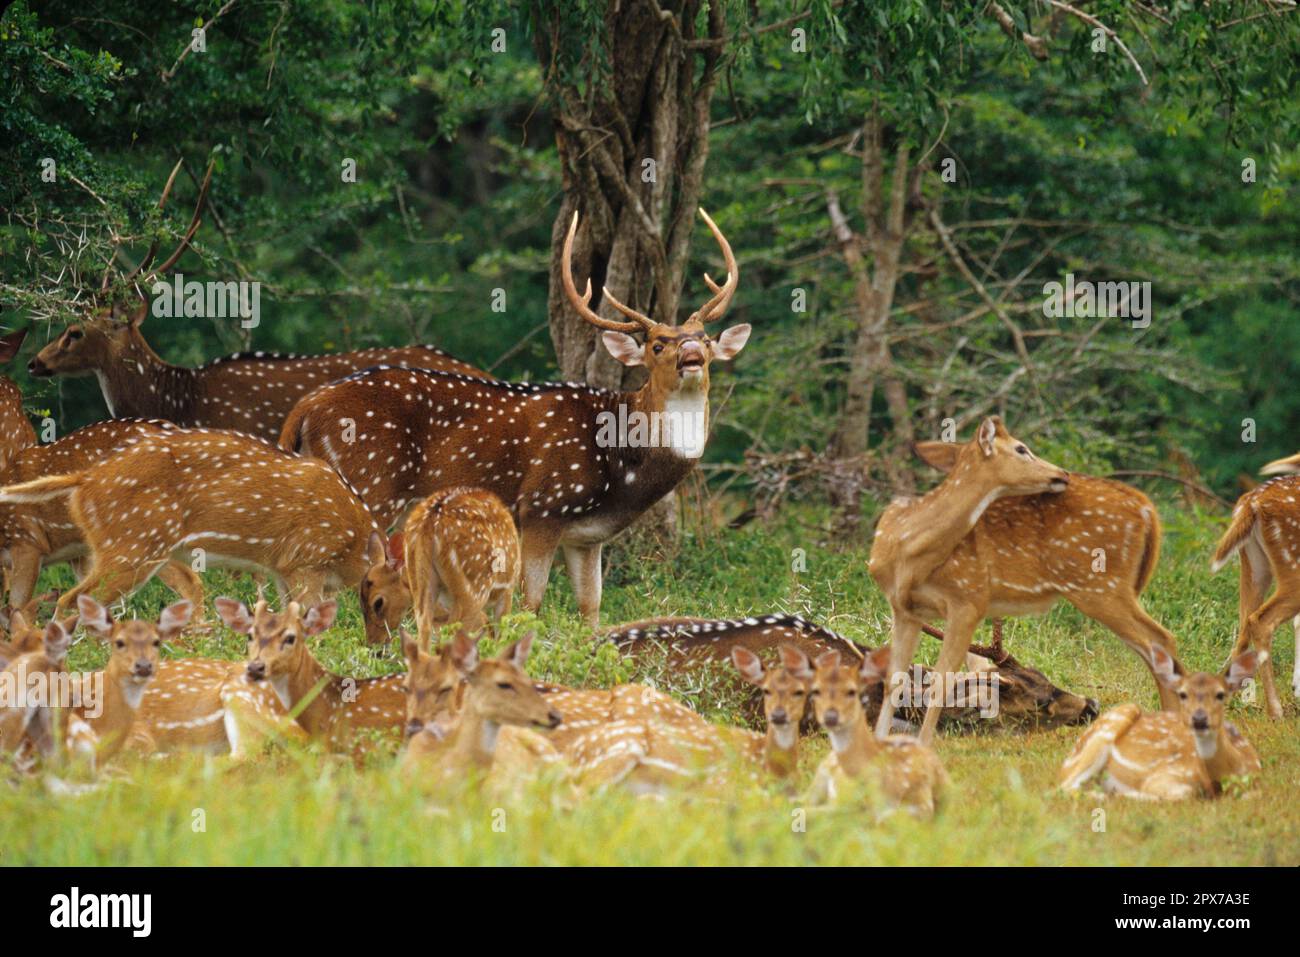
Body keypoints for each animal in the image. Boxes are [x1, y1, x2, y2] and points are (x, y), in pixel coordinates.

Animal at [278, 207, 749, 624]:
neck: (620, 465)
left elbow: (591, 609)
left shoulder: (587, 536)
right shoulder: (542, 505)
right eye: (656, 344)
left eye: (706, 338)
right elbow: (531, 603)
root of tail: (303, 409)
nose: (691, 353)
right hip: (369, 481)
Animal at [869, 416, 1178, 746]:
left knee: (1161, 639)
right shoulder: (905, 609)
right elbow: (895, 680)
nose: (1062, 473)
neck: (906, 552)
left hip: (1100, 585)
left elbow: (941, 684)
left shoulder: (968, 600)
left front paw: (923, 747)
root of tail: (1147, 508)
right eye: (1021, 448)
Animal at [1059, 646, 1263, 800]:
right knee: (1065, 787)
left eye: (1220, 694)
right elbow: (1183, 793)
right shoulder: (1165, 776)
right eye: (1183, 694)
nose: (1199, 719)